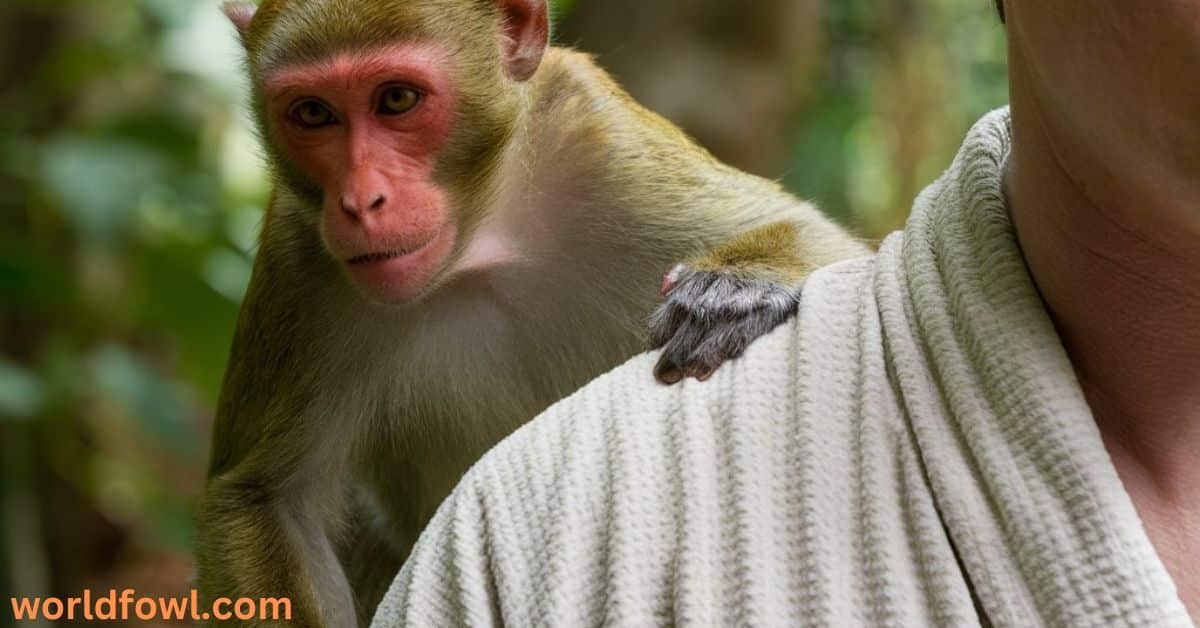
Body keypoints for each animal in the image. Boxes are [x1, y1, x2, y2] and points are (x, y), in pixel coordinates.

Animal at [196, 0, 868, 626]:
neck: (483, 243)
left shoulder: (598, 135)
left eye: (397, 99)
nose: (360, 202)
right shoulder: (300, 254)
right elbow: (267, 499)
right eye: (312, 113)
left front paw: (740, 284)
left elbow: (834, 243)